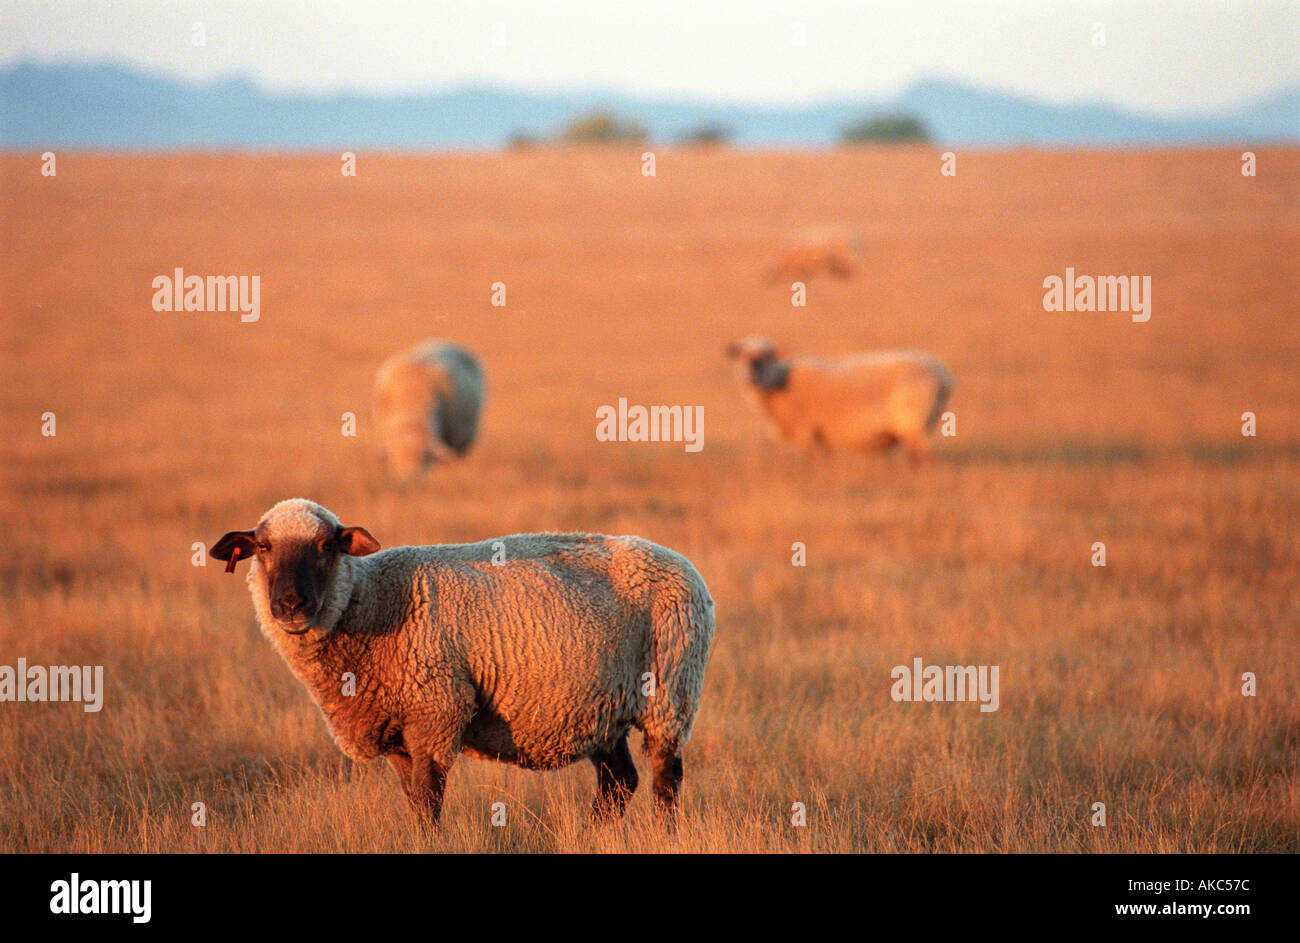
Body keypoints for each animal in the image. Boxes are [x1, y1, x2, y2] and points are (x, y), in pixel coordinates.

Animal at [211, 498, 716, 826]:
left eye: (327, 546)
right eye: (263, 547)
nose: (290, 605)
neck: (369, 602)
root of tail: (684, 565)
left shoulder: (436, 712)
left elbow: (429, 803)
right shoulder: (398, 734)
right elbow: (415, 803)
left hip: (671, 692)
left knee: (665, 781)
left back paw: (664, 835)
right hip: (602, 710)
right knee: (618, 783)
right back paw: (591, 835)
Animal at [726, 335, 952, 462]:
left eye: (766, 357)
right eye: (741, 356)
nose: (749, 378)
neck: (778, 382)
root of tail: (943, 376)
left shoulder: (806, 432)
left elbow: (810, 463)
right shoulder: (820, 437)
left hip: (914, 422)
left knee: (926, 457)